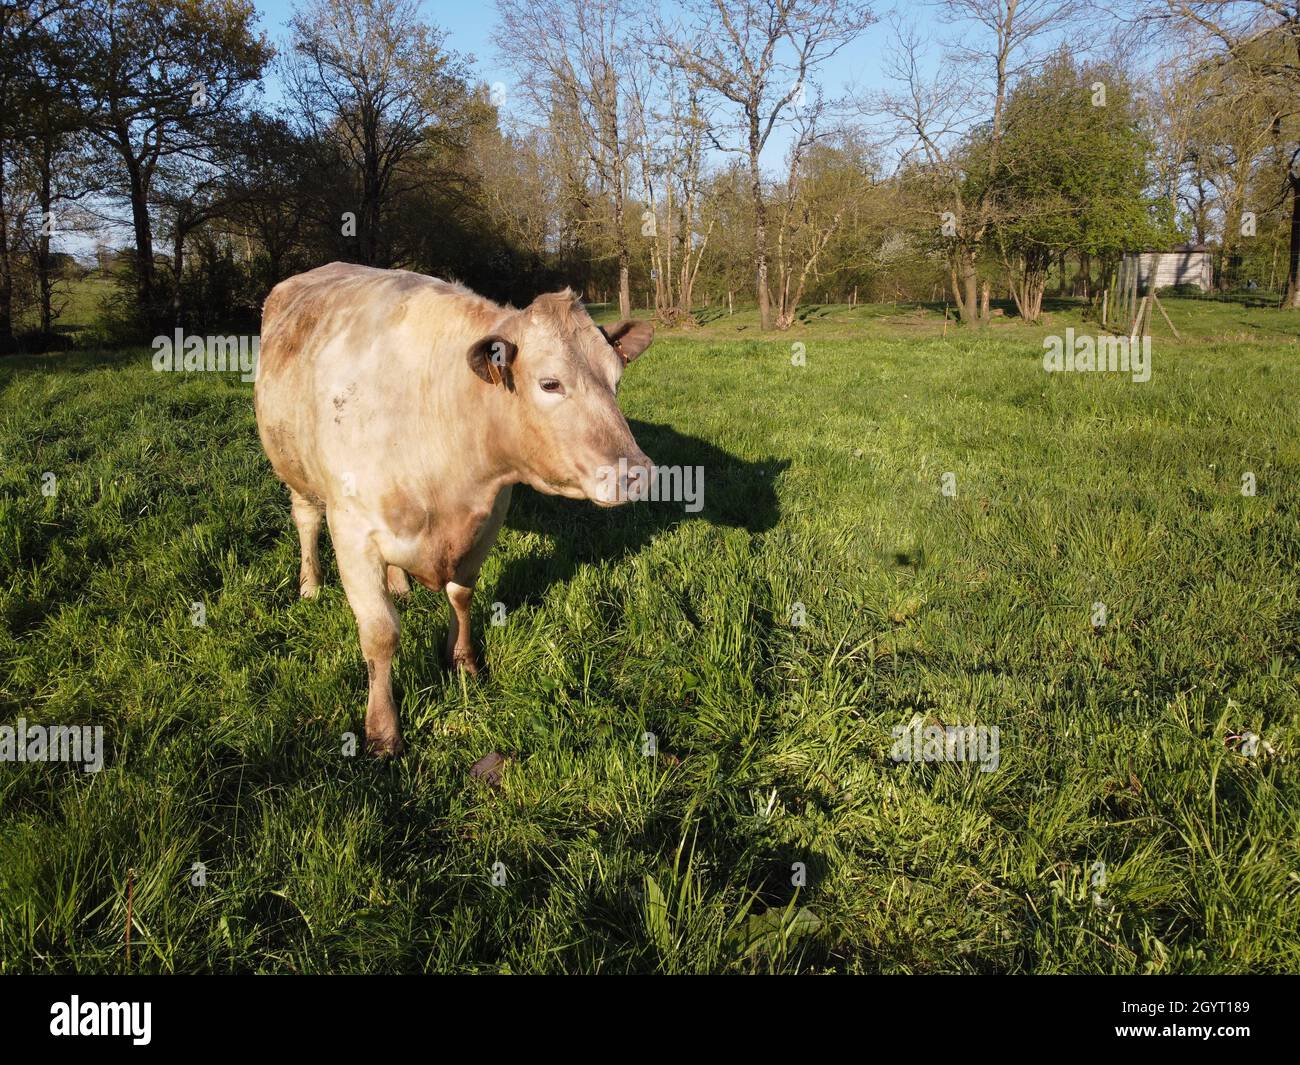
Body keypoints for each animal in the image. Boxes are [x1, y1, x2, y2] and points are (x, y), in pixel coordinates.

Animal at [255, 263, 654, 756]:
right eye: (550, 383)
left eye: (617, 381)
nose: (639, 474)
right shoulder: (352, 533)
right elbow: (381, 634)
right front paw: (382, 729)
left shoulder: (488, 518)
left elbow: (462, 595)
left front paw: (463, 662)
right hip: (293, 468)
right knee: (305, 520)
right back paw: (310, 585)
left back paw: (400, 584)